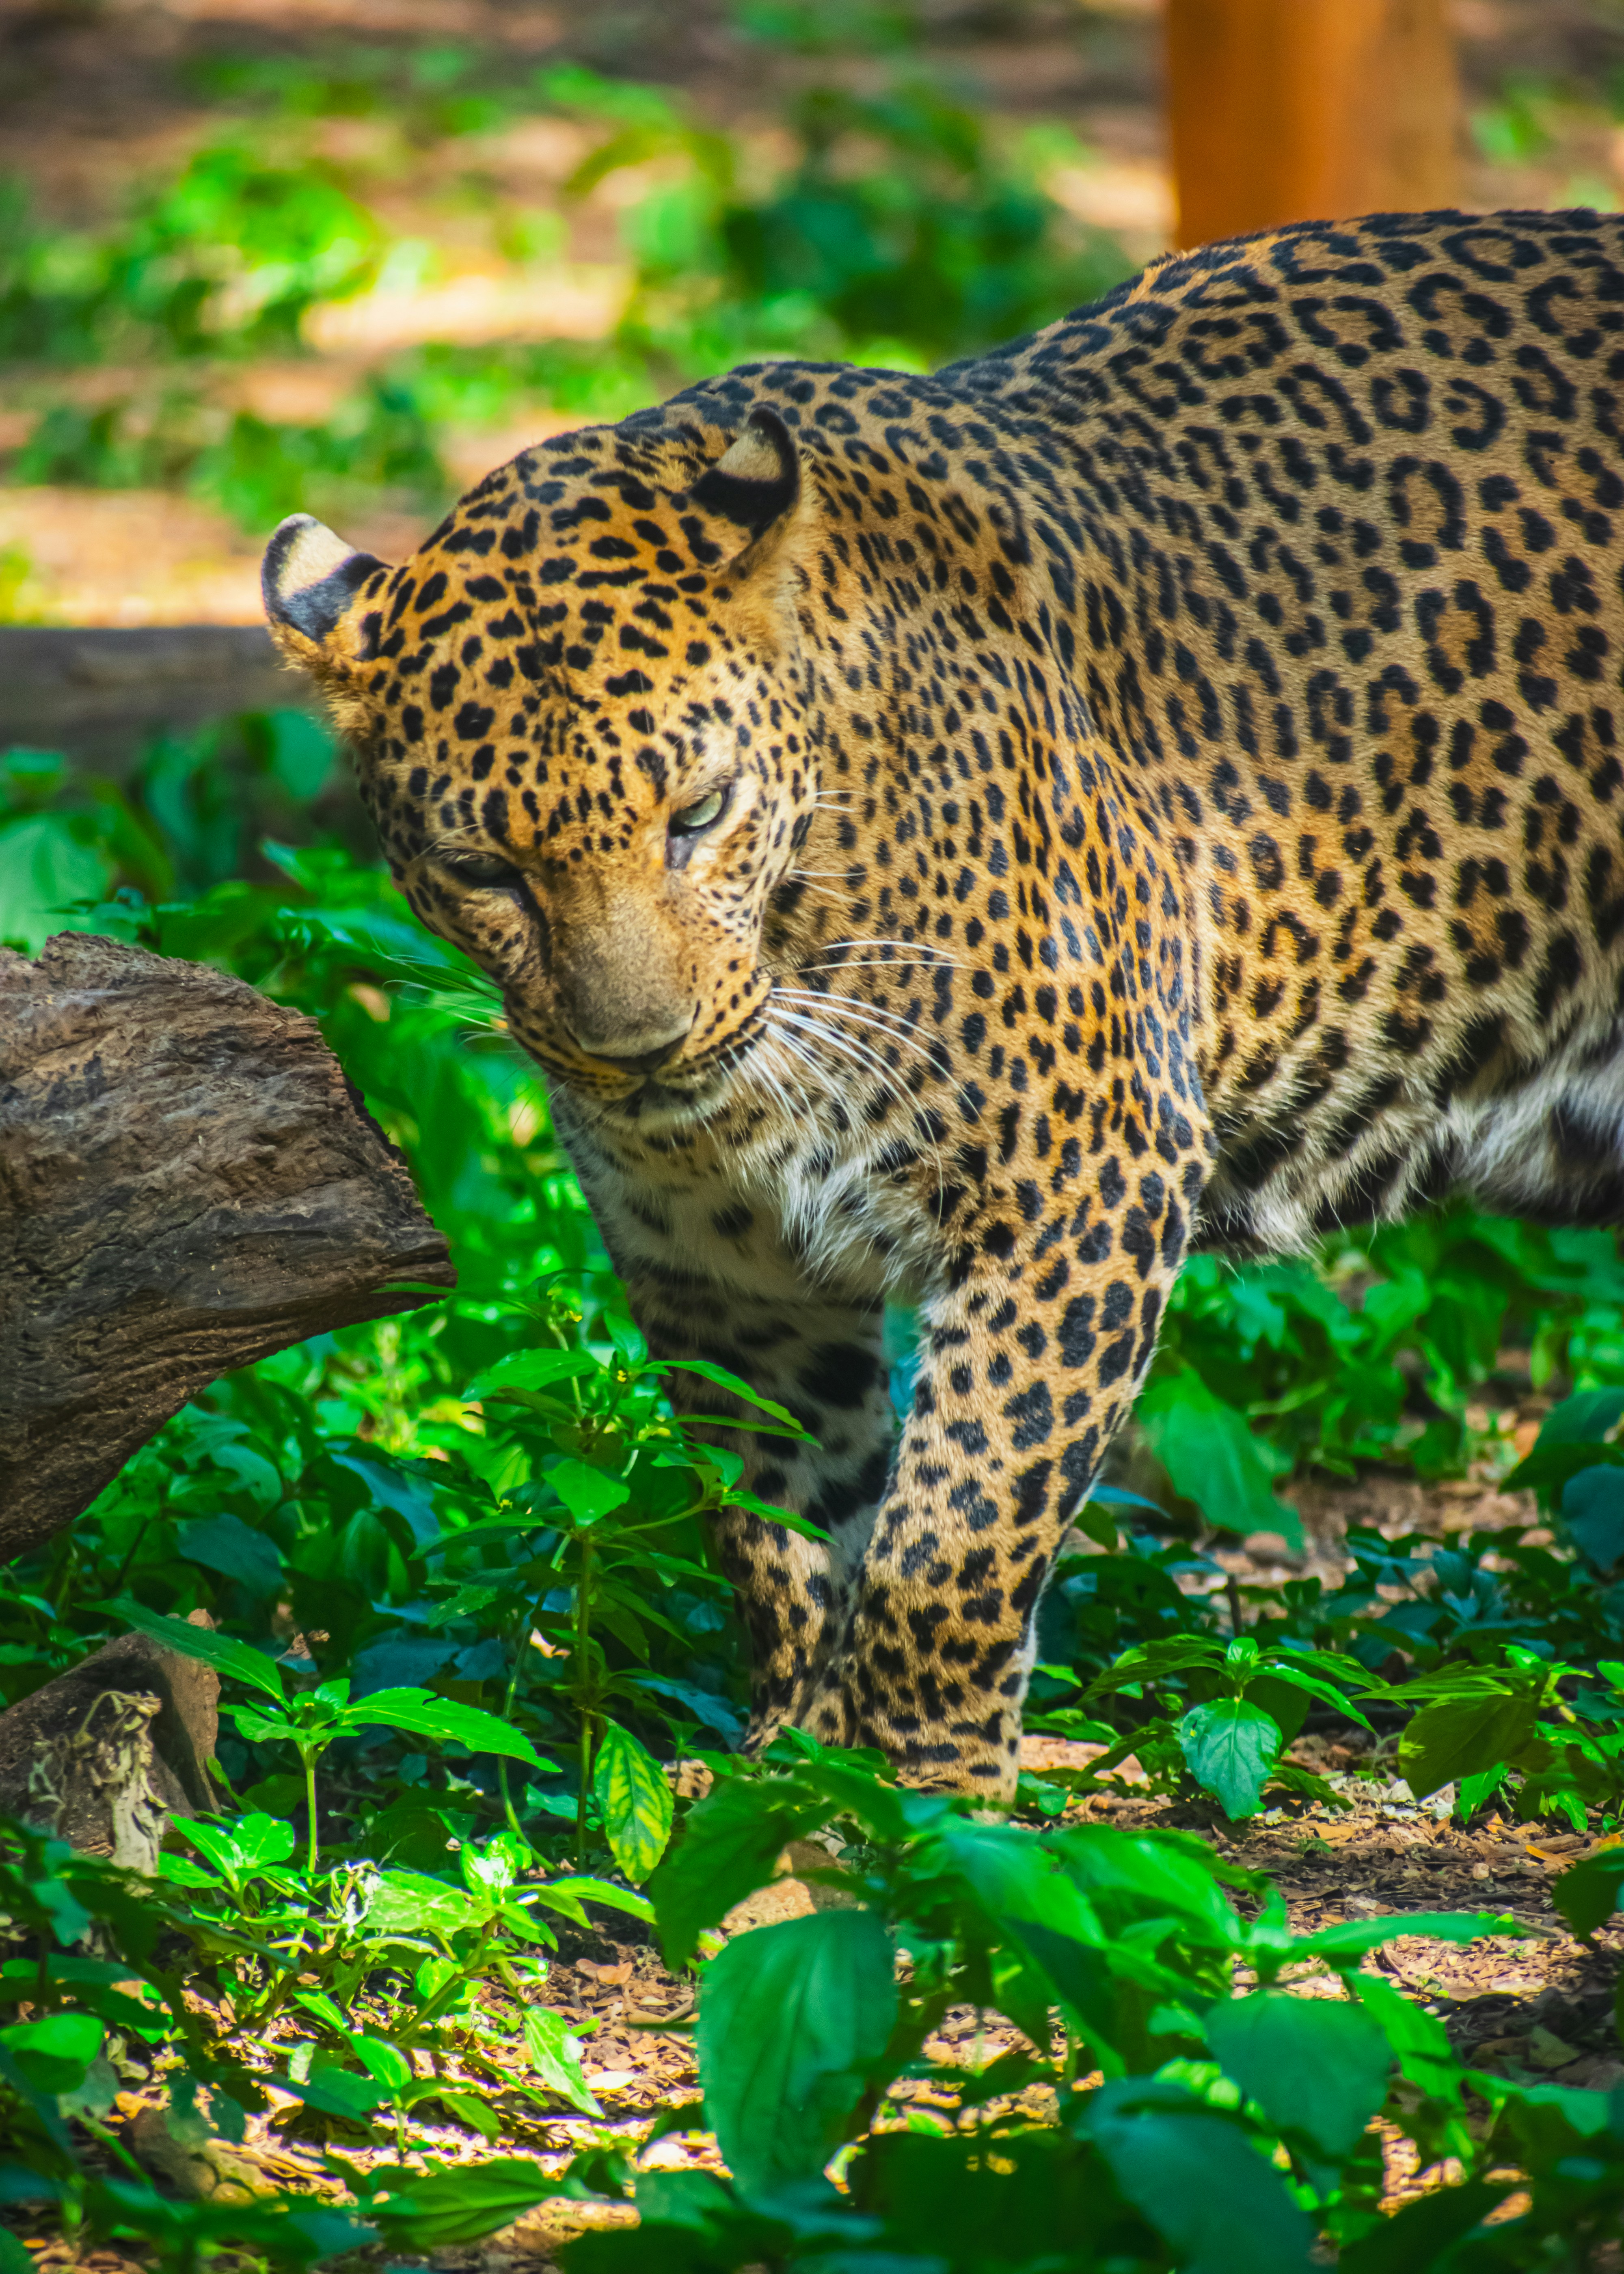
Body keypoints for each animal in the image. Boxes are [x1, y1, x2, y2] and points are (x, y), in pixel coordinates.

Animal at [264, 205, 1624, 1801]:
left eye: (698, 814)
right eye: (482, 869)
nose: (637, 1049)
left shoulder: (1079, 1186)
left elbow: (955, 1529)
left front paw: (928, 1792)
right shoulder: (718, 1270)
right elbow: (779, 1523)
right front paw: (793, 1762)